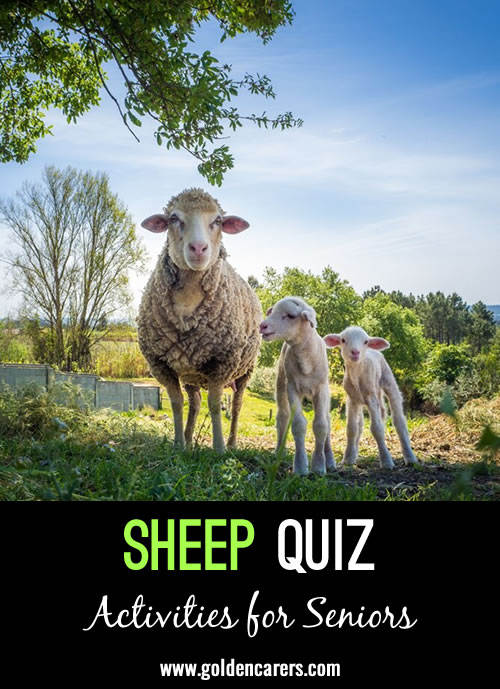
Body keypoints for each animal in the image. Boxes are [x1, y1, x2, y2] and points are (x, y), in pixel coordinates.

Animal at [137, 188, 262, 454]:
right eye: (173, 218)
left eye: (218, 220)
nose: (198, 248)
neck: (187, 301)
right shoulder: (160, 364)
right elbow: (176, 403)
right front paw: (177, 445)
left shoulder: (223, 362)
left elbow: (215, 404)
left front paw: (219, 448)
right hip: (190, 369)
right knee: (193, 402)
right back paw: (188, 440)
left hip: (245, 370)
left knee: (236, 405)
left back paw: (232, 442)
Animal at [259, 297, 335, 475]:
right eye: (272, 312)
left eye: (290, 315)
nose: (262, 325)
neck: (306, 360)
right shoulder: (292, 388)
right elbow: (298, 425)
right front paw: (301, 466)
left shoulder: (321, 389)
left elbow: (321, 426)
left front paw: (319, 466)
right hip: (281, 384)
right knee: (282, 416)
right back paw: (279, 450)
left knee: (328, 421)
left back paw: (329, 460)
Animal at [324, 326, 418, 469]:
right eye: (343, 340)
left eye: (365, 342)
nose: (355, 352)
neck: (358, 373)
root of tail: (374, 351)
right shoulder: (352, 399)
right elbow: (351, 428)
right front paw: (348, 458)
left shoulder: (371, 398)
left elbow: (377, 429)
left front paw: (386, 461)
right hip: (369, 395)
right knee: (365, 422)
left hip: (387, 380)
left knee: (399, 421)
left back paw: (410, 457)